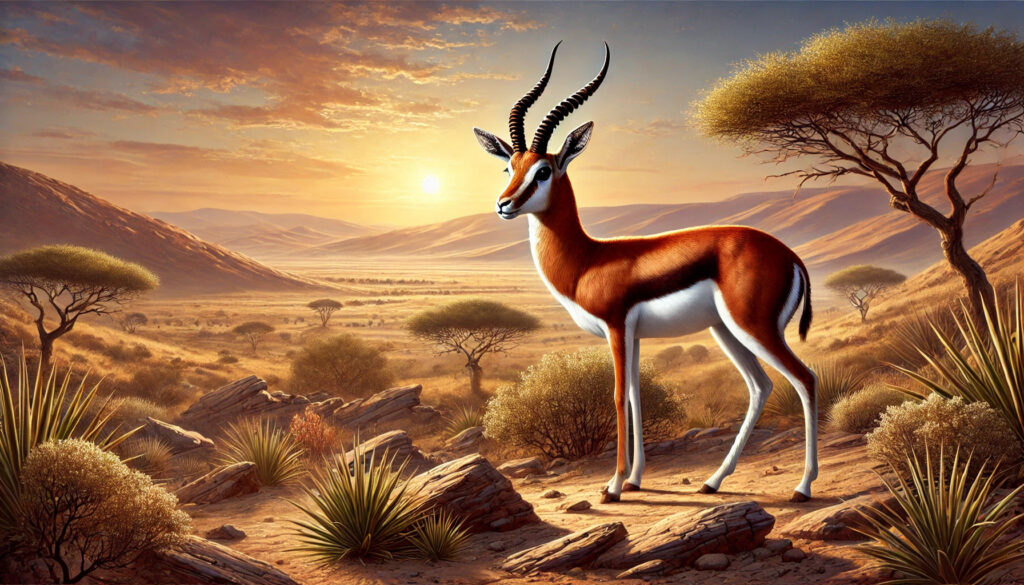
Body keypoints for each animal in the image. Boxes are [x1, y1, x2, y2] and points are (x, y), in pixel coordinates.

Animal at [473, 43, 819, 503]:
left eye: (543, 170)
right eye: (508, 167)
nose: (504, 205)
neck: (589, 260)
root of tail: (791, 256)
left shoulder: (617, 327)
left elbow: (619, 395)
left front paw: (614, 486)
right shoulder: (635, 336)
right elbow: (637, 395)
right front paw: (635, 479)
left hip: (755, 328)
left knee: (805, 379)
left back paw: (803, 487)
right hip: (726, 330)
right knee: (761, 386)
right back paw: (712, 481)